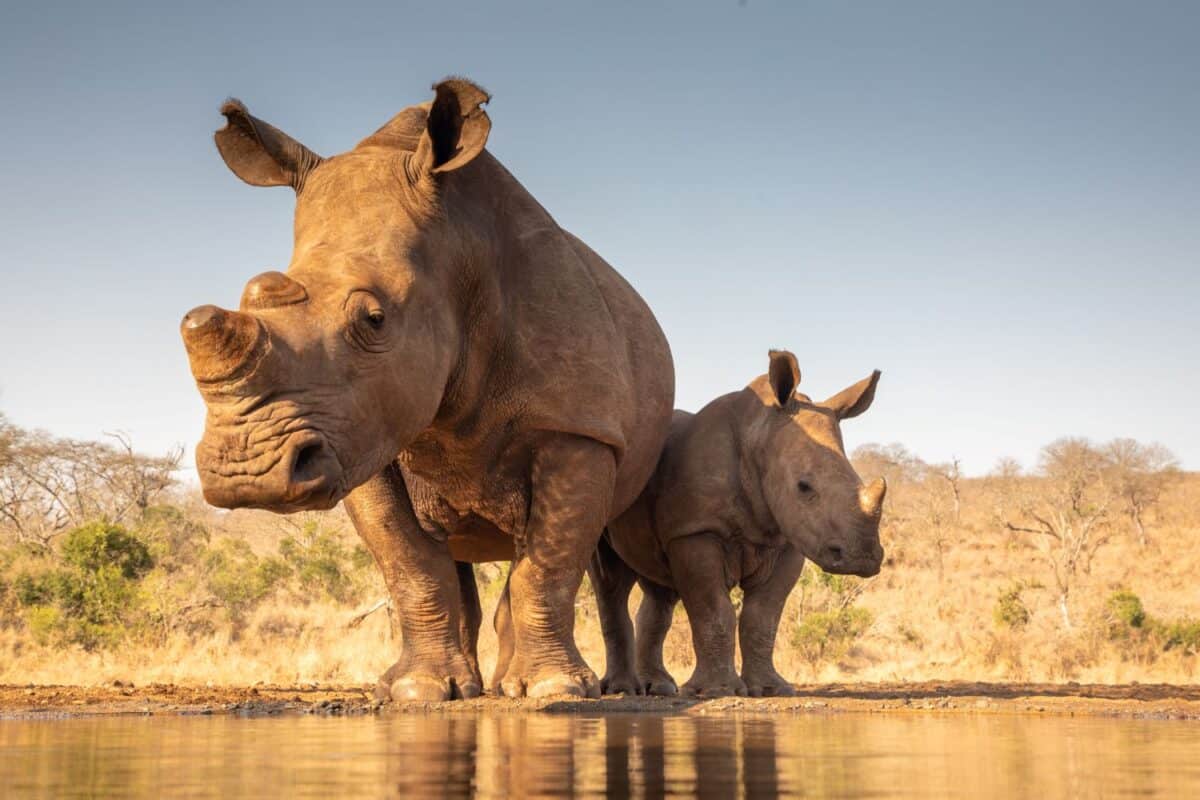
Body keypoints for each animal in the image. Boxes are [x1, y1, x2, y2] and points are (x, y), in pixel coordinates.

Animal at [179, 78, 675, 700]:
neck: (458, 251)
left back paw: (579, 689)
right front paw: (418, 690)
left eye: (374, 320)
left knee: (592, 563)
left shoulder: (579, 428)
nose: (247, 472)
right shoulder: (358, 434)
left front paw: (553, 691)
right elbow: (410, 564)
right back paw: (478, 687)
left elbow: (550, 565)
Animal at [587, 350, 884, 697]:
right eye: (803, 486)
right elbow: (714, 611)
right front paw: (715, 691)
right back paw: (622, 690)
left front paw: (770, 690)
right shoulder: (697, 531)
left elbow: (763, 617)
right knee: (610, 581)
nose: (862, 558)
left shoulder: (787, 541)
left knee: (659, 588)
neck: (758, 433)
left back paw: (659, 688)